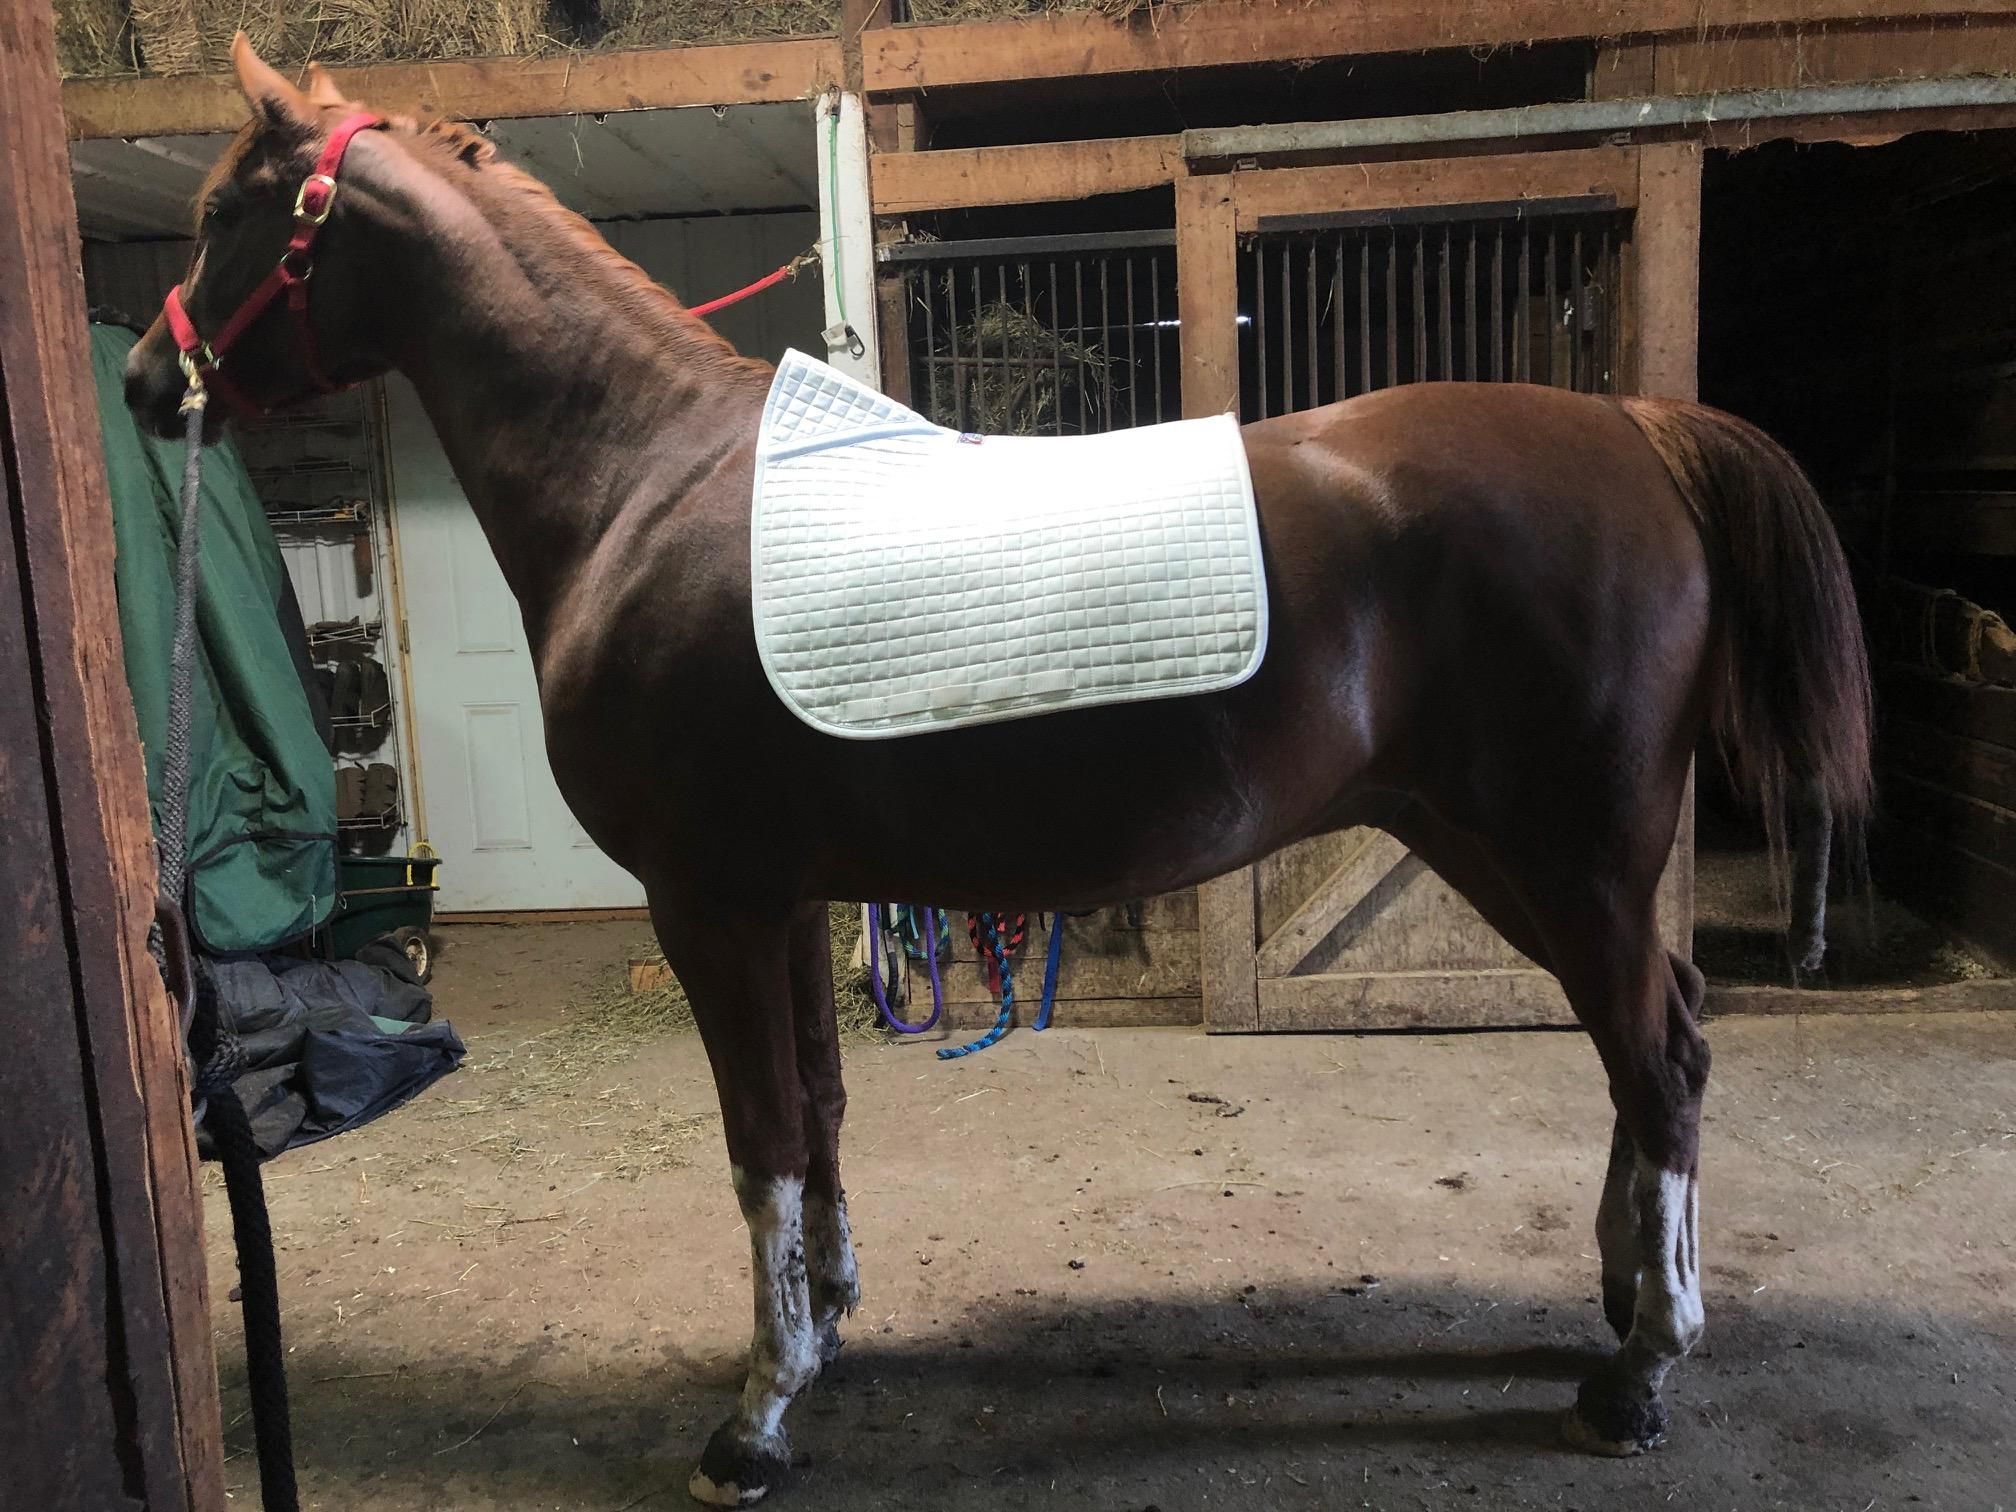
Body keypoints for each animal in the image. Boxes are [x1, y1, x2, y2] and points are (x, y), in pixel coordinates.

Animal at [123, 39, 1873, 1507]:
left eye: (225, 212)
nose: (147, 382)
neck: (643, 484)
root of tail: (1640, 433)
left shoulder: (709, 904)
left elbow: (761, 1139)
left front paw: (758, 1417)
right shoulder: (788, 904)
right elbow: (819, 1115)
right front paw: (826, 1326)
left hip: (1565, 852)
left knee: (1664, 1059)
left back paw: (1639, 1373)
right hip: (1515, 850)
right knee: (1643, 1057)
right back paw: (1620, 1303)